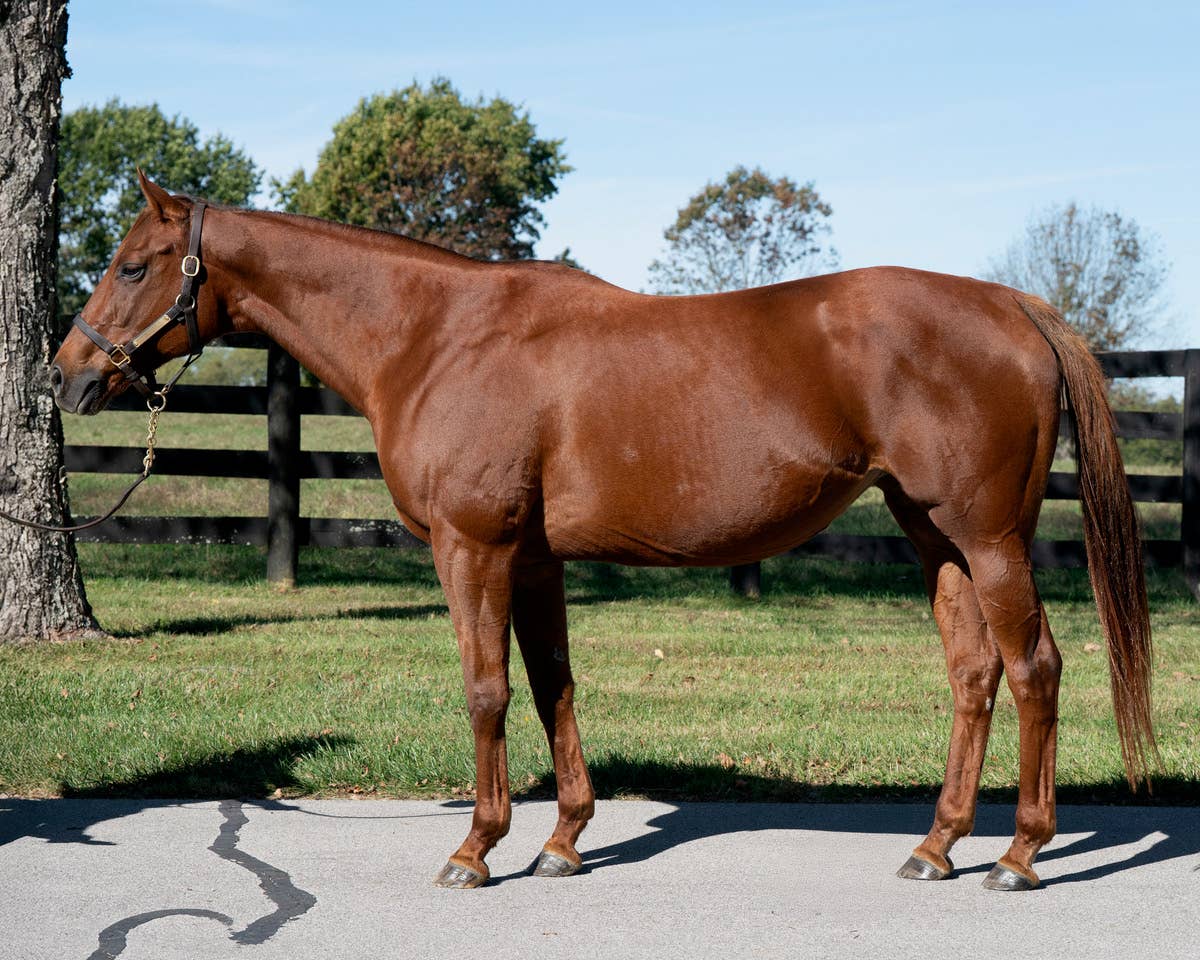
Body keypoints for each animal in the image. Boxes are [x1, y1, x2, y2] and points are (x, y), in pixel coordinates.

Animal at [50, 173, 1155, 892]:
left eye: (135, 265)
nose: (67, 376)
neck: (437, 338)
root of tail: (1015, 305)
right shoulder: (534, 559)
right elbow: (553, 688)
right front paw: (564, 840)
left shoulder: (474, 550)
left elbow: (488, 692)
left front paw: (475, 849)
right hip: (935, 539)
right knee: (973, 674)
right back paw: (937, 846)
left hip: (991, 539)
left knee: (1035, 670)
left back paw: (1020, 855)